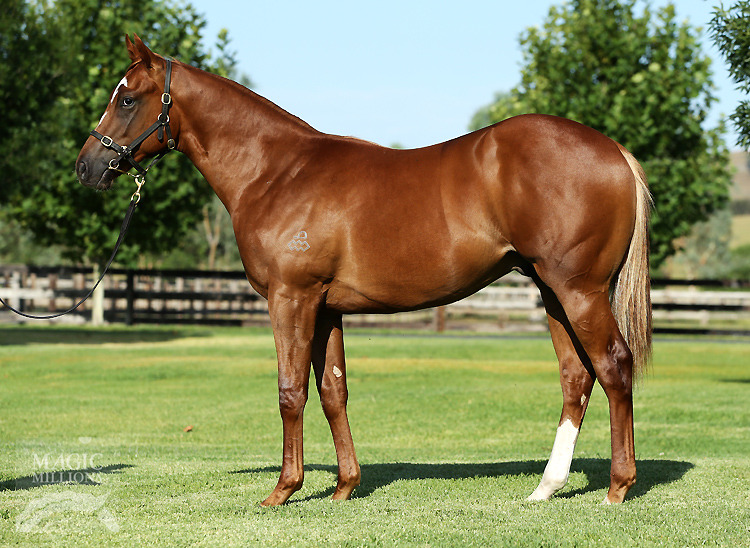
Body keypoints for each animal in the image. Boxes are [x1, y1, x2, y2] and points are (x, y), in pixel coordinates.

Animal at [76, 35, 651, 507]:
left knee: (613, 365)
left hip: (578, 291)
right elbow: (334, 392)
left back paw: (618, 486)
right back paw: (547, 487)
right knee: (576, 377)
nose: (86, 167)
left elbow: (290, 391)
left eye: (127, 99)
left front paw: (283, 490)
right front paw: (344, 487)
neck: (277, 172)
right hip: (553, 293)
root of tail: (614, 151)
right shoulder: (326, 308)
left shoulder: (291, 298)